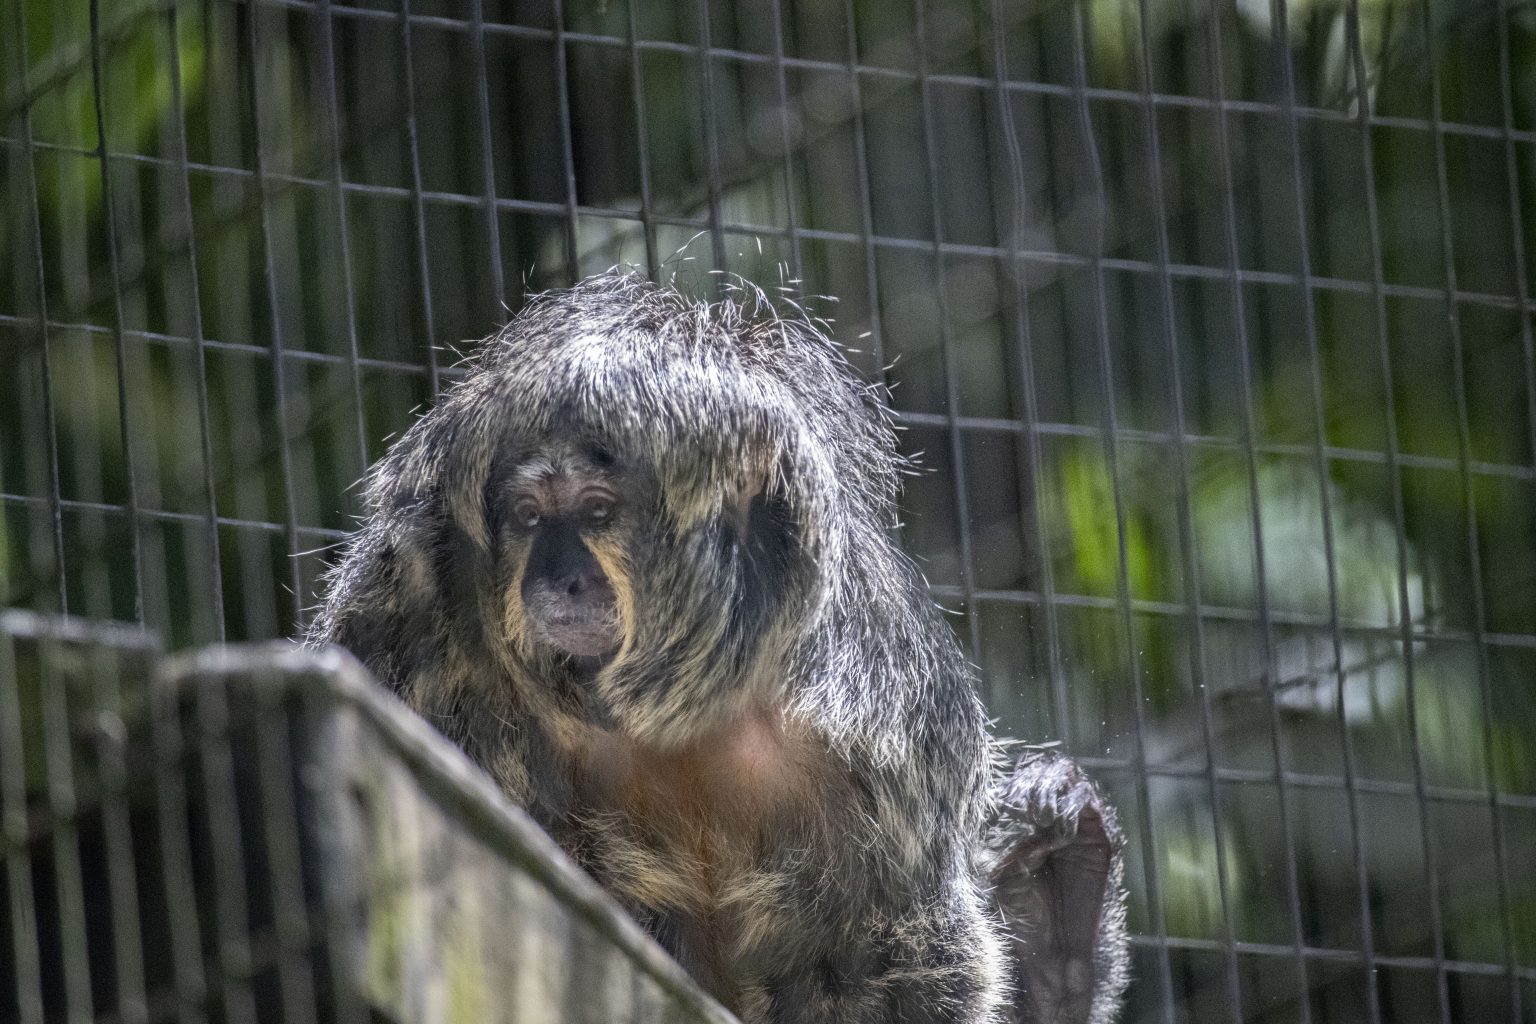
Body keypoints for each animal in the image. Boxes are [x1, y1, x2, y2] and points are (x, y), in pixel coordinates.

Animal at [307, 270, 1128, 1023]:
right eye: (528, 517)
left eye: (597, 511)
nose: (554, 579)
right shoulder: (410, 605)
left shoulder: (891, 743)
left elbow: (899, 955)